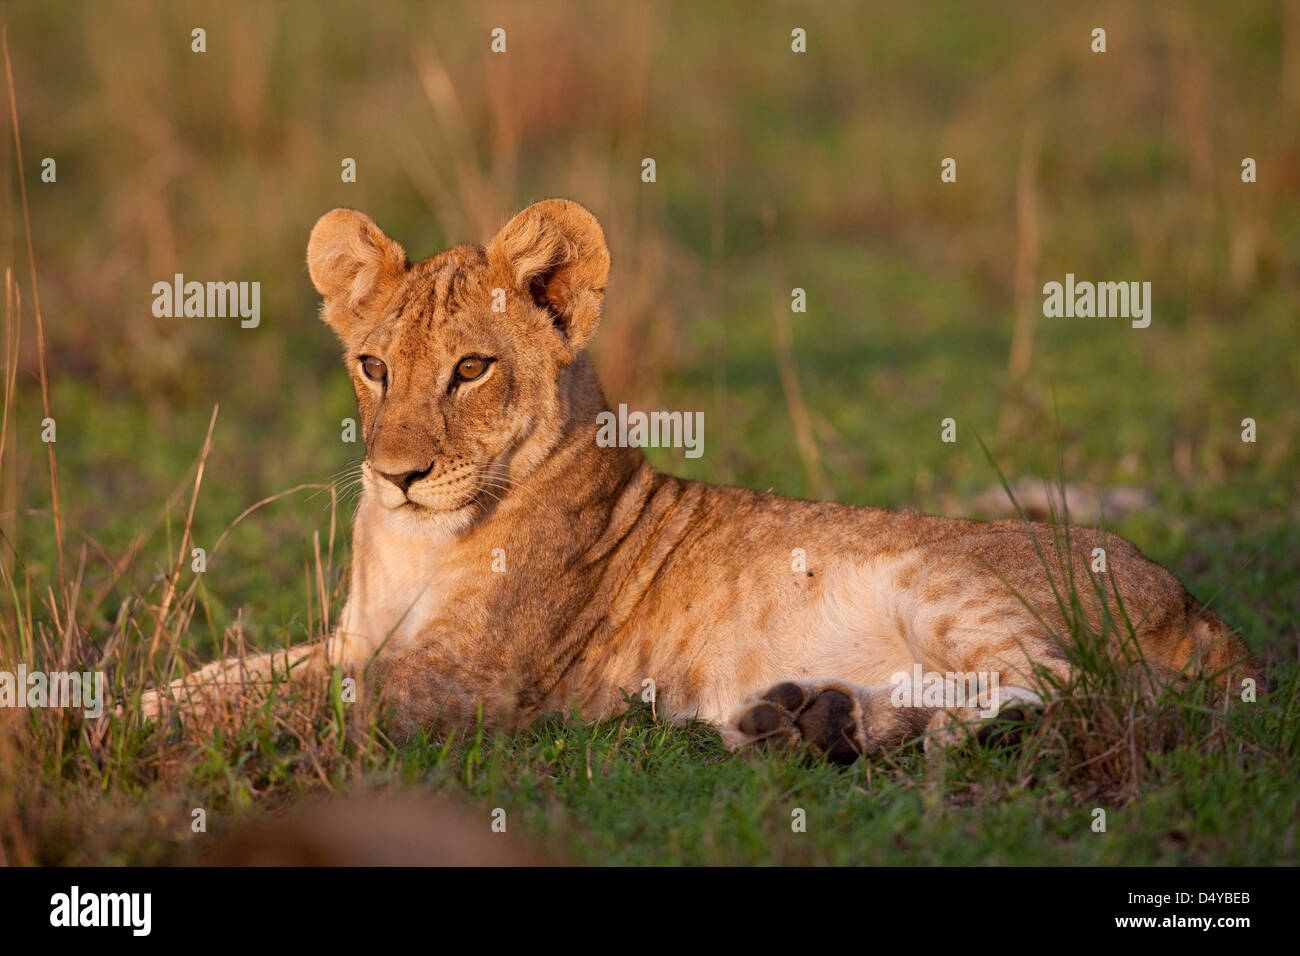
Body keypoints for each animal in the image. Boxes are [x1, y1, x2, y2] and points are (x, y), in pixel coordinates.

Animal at [140, 198, 1262, 762]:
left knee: (1061, 687)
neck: (416, 537)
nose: (395, 473)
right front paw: (126, 698)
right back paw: (812, 721)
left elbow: (282, 705)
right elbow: (225, 675)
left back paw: (875, 731)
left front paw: (107, 730)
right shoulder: (353, 639)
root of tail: (1200, 604)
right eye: (373, 366)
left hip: (944, 583)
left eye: (471, 368)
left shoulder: (461, 680)